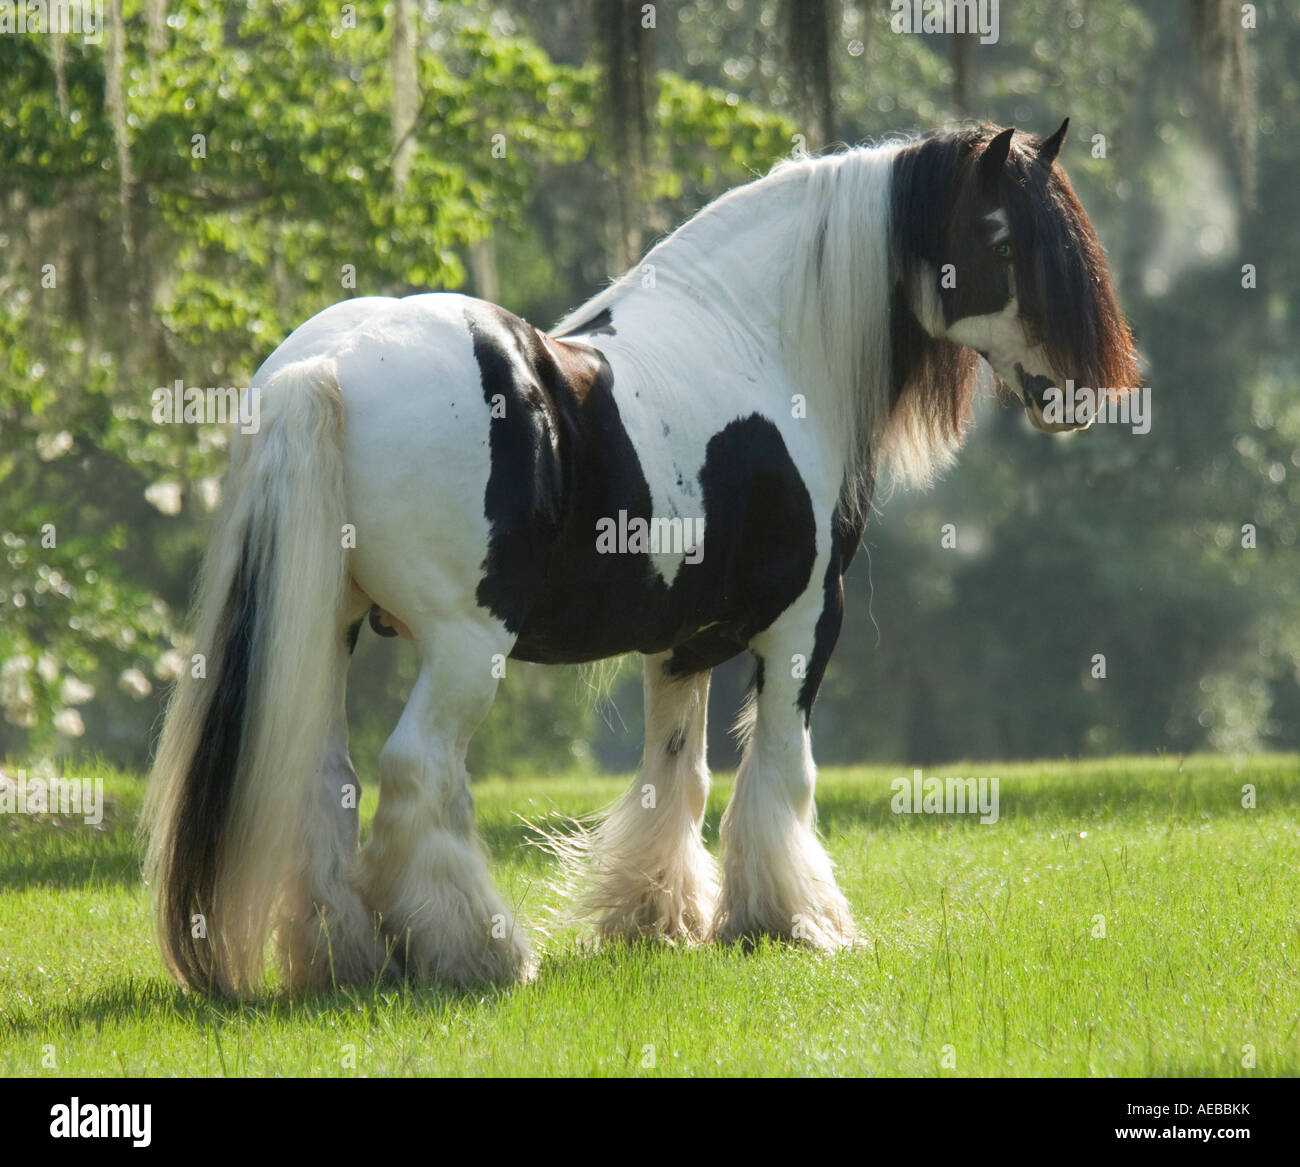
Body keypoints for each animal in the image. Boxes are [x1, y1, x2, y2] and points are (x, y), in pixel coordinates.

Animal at [142, 118, 1138, 992]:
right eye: (1002, 238)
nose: (1077, 394)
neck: (764, 338)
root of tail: (325, 368)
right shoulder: (804, 623)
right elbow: (783, 771)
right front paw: (792, 923)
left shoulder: (680, 645)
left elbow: (677, 775)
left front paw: (657, 918)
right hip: (465, 645)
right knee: (416, 773)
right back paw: (480, 953)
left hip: (326, 626)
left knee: (323, 785)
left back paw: (346, 958)